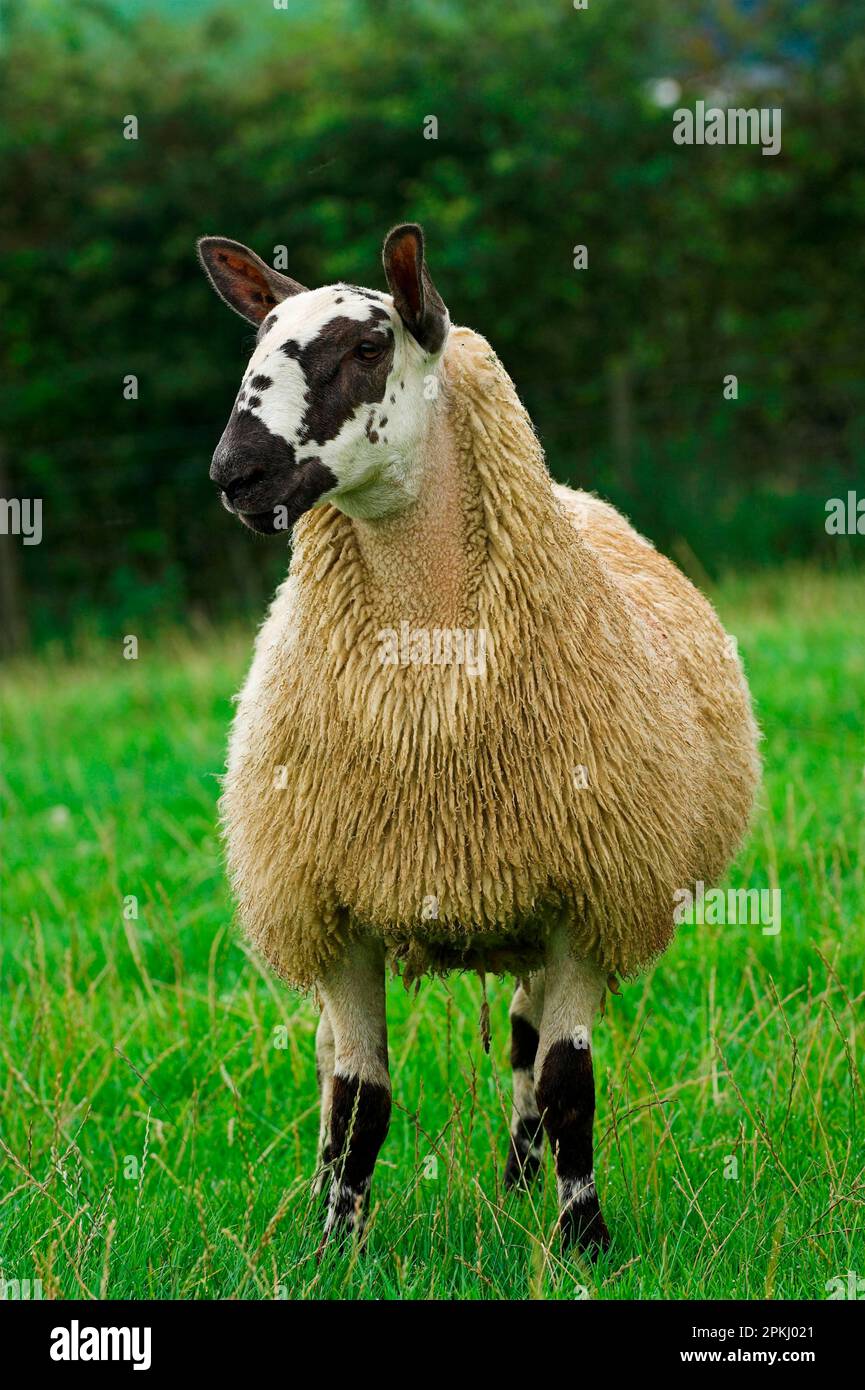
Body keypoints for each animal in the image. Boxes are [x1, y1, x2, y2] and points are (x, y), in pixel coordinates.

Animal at [197, 224, 761, 1256]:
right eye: (257, 346)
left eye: (368, 346)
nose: (234, 475)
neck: (431, 693)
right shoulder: (335, 911)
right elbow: (358, 1099)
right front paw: (336, 1246)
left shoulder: (587, 900)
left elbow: (570, 1086)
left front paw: (583, 1239)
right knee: (344, 1062)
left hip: (542, 902)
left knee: (528, 1044)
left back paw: (519, 1184)